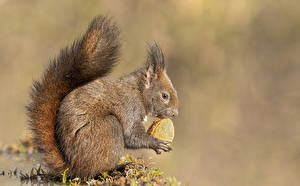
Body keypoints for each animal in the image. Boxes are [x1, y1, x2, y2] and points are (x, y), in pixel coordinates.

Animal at [26, 15, 178, 177]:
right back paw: (120, 167)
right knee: (98, 170)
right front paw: (156, 143)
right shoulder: (129, 106)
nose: (175, 114)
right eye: (164, 95)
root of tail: (72, 167)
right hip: (109, 128)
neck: (138, 91)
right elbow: (131, 135)